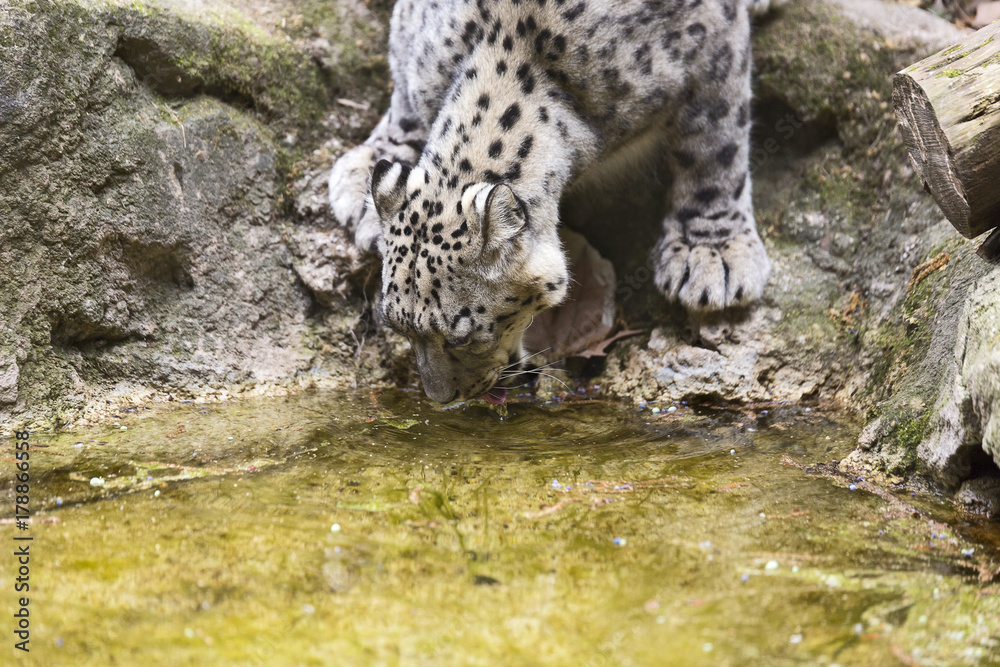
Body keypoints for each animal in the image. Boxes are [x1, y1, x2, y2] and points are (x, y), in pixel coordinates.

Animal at [329, 0, 774, 404]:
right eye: (398, 326)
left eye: (462, 338)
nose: (440, 398)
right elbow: (404, 96)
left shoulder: (713, 41)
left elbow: (715, 143)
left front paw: (713, 253)